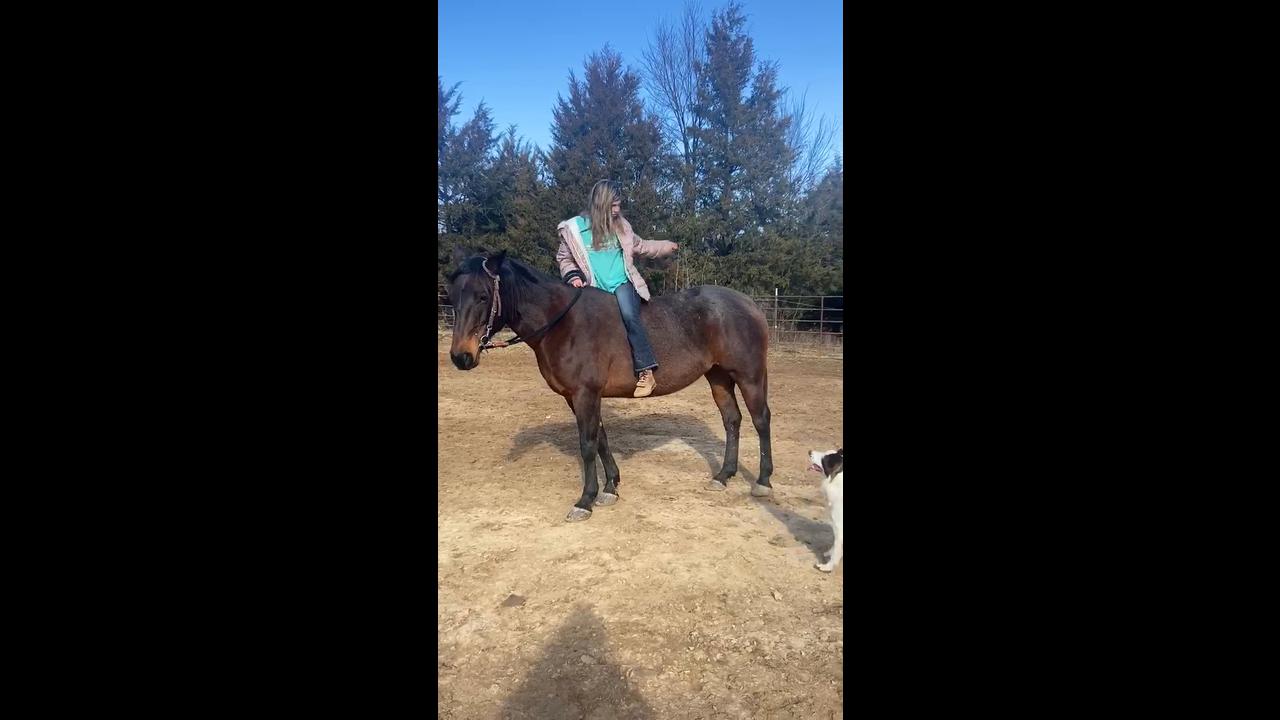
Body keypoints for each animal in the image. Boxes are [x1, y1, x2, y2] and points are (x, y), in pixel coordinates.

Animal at [446, 250, 774, 522]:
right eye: (452, 296)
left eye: (483, 296)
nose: (461, 357)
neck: (562, 324)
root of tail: (748, 304)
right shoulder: (580, 396)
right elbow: (601, 438)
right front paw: (610, 488)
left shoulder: (585, 393)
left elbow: (588, 444)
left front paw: (585, 500)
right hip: (718, 376)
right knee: (732, 420)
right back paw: (723, 475)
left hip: (749, 375)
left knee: (760, 420)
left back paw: (763, 481)